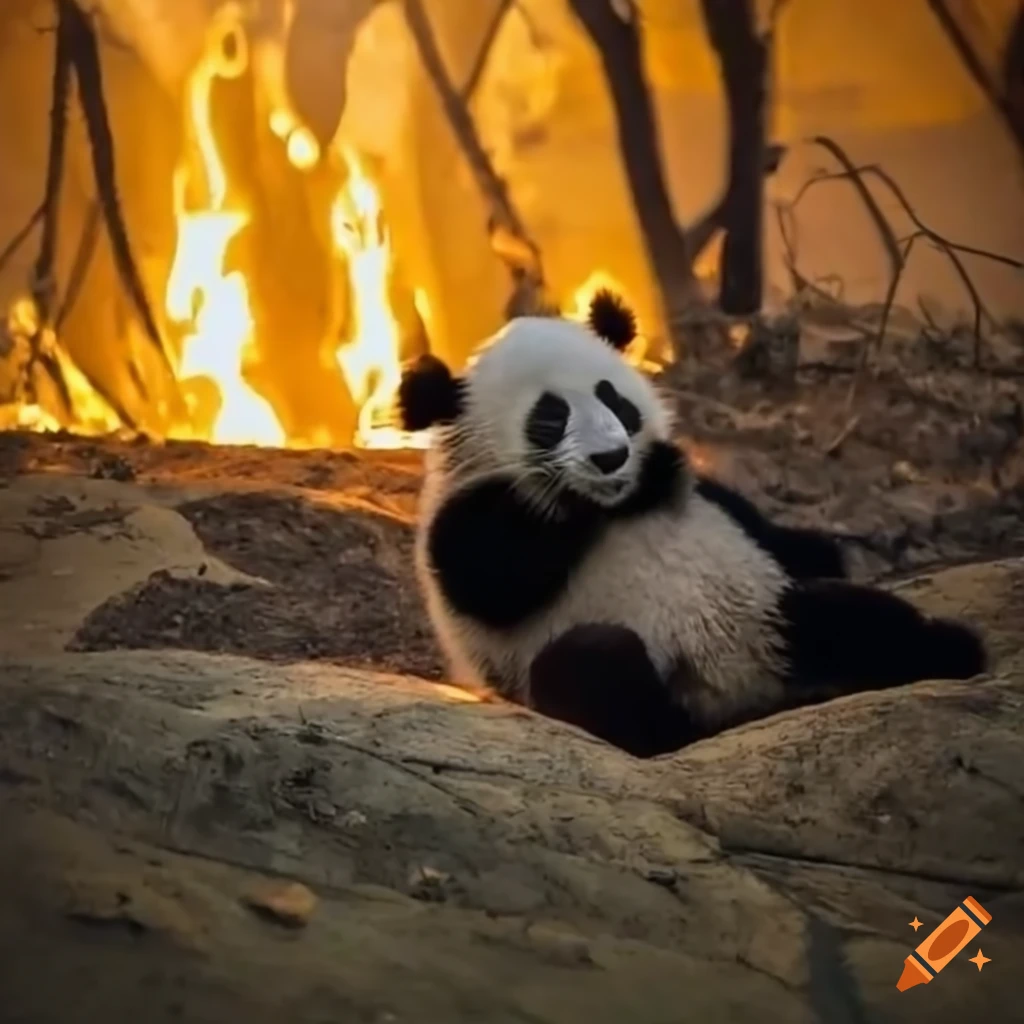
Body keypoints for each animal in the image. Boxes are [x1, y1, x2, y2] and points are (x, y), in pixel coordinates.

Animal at [396, 290, 987, 757]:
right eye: (550, 417)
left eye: (613, 398)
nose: (612, 457)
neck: (618, 505)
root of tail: (739, 698)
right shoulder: (463, 519)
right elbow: (493, 574)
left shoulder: (713, 501)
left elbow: (779, 538)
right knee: (595, 668)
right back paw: (667, 734)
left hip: (768, 613)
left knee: (839, 615)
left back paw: (949, 651)